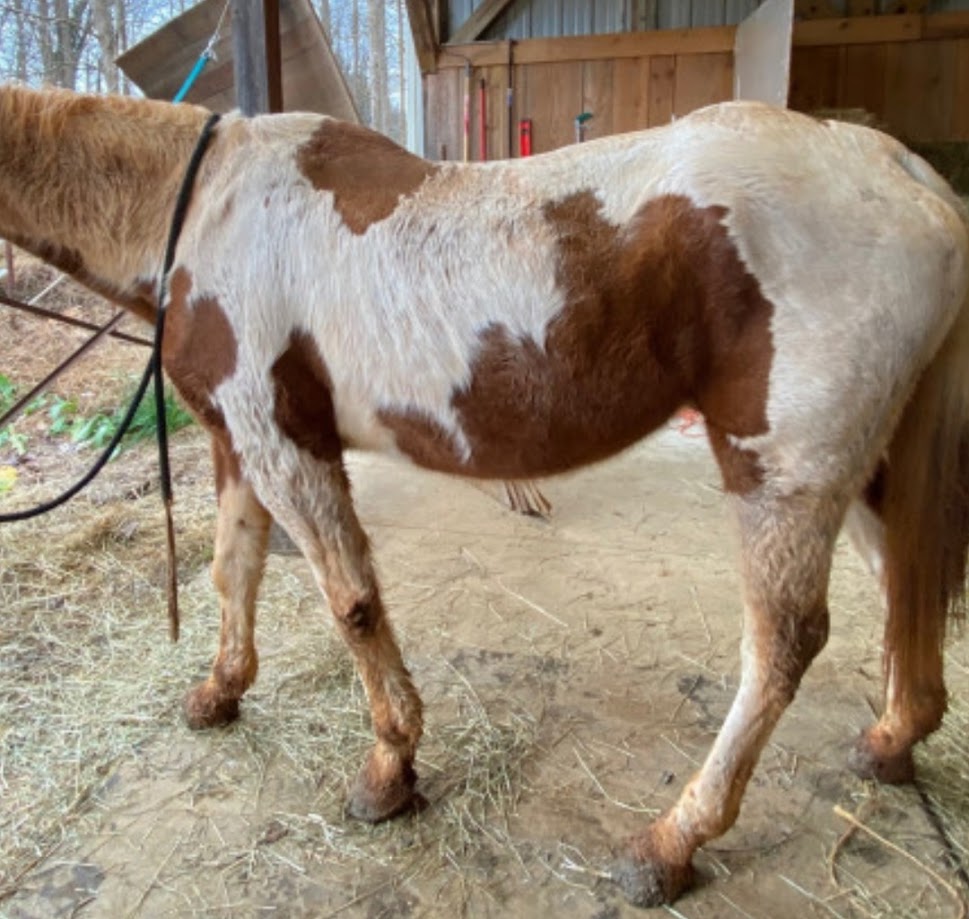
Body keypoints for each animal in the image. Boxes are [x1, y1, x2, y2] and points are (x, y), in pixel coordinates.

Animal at [1, 84, 967, 907]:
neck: (204, 205)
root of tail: (898, 170)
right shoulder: (241, 441)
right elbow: (233, 571)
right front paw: (220, 691)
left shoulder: (283, 443)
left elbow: (351, 602)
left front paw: (390, 767)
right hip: (863, 471)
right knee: (903, 589)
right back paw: (891, 739)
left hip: (782, 476)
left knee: (782, 646)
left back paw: (669, 842)